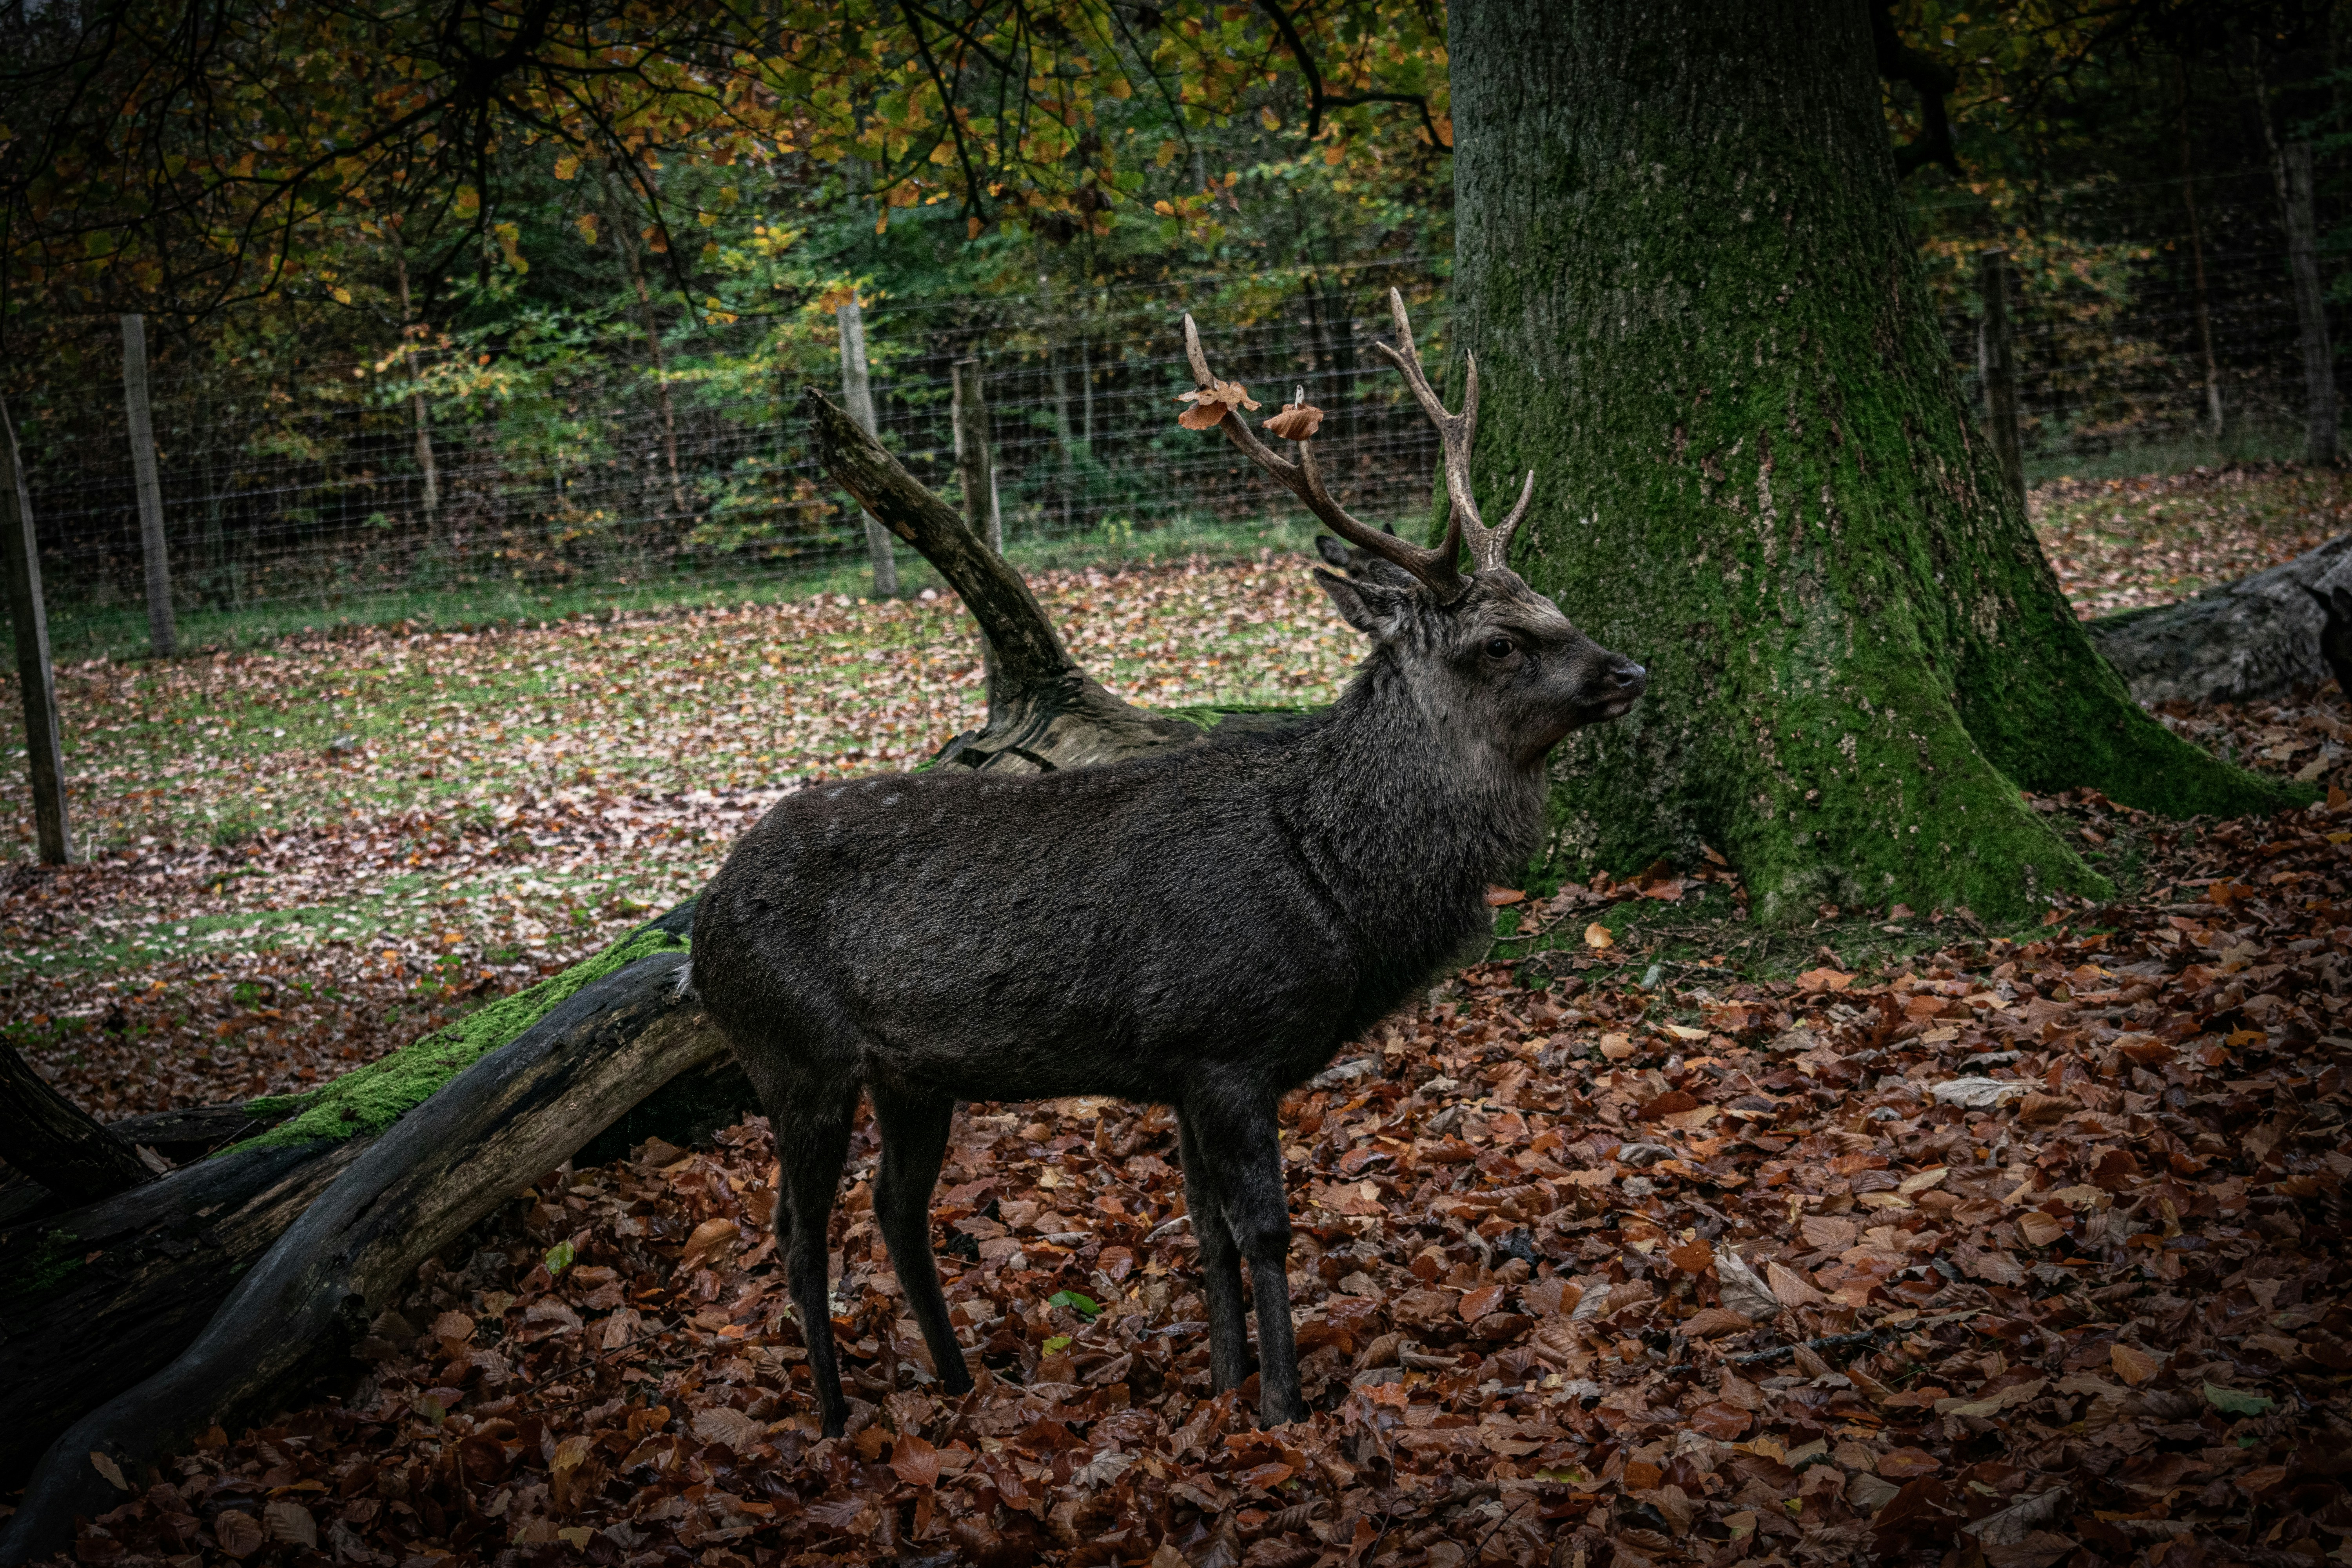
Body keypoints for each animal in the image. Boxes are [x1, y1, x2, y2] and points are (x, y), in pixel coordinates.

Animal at [688, 291, 1646, 1434]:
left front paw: (1225, 1384)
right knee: (795, 1233)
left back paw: (959, 1382)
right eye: (1498, 642)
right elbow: (1267, 1226)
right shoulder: (1227, 1041)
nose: (1629, 670)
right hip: (793, 1055)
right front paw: (1282, 1405)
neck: (1332, 889)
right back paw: (835, 1419)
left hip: (913, 1077)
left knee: (895, 1210)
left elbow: (1205, 1227)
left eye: (1554, 609)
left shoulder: (1183, 1064)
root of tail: (697, 930)